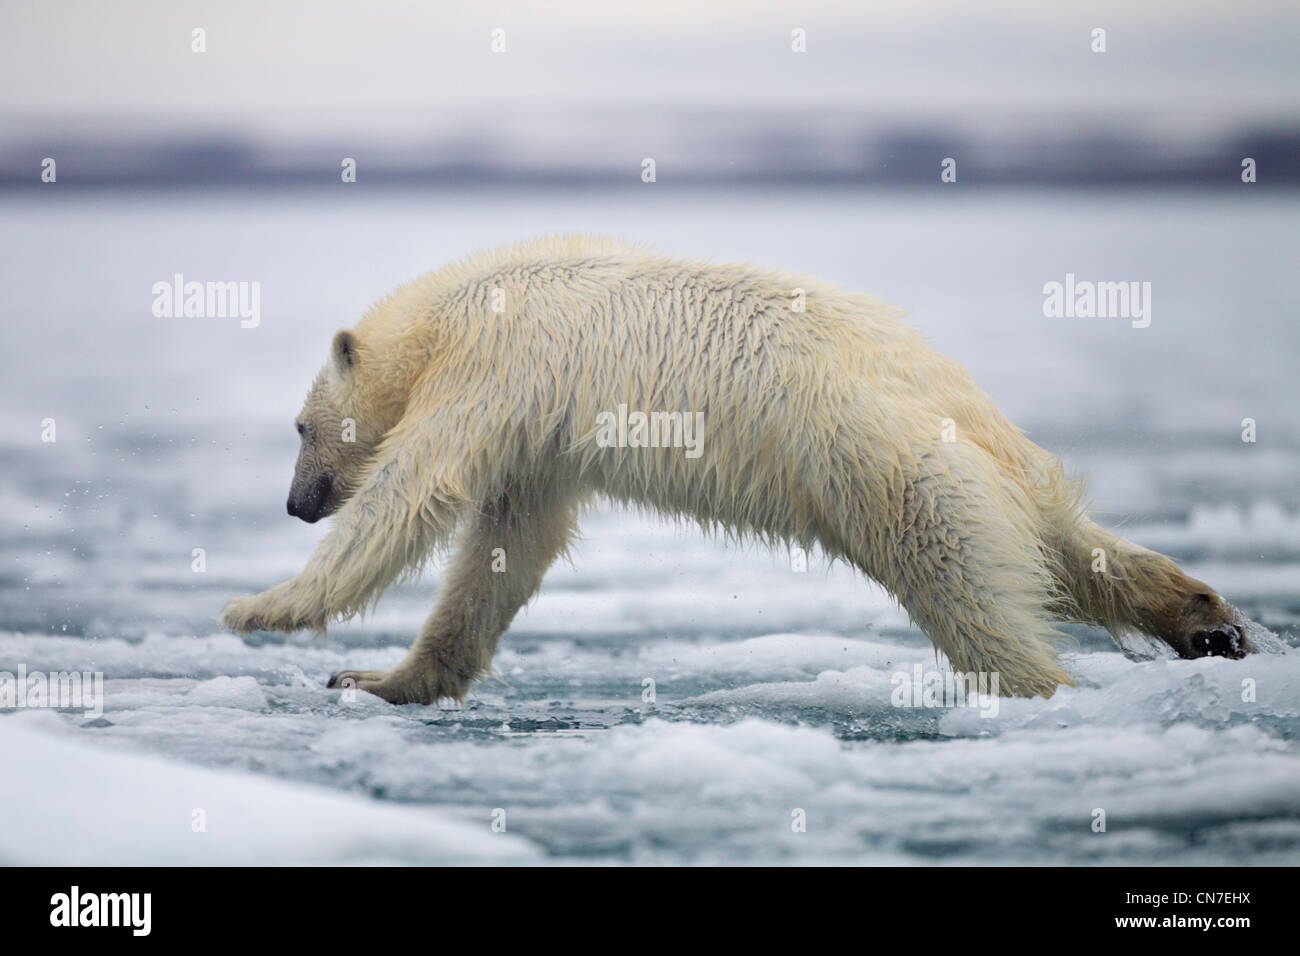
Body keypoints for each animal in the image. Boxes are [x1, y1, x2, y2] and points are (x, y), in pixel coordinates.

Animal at [219, 234, 1260, 704]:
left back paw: (1049, 687)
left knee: (968, 590)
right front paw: (379, 677)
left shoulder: (497, 367)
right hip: (1000, 470)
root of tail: (966, 409)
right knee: (1074, 548)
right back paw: (1208, 621)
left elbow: (413, 493)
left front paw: (262, 610)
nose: (295, 503)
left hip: (891, 468)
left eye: (300, 426)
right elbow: (505, 549)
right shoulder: (542, 438)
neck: (449, 313)